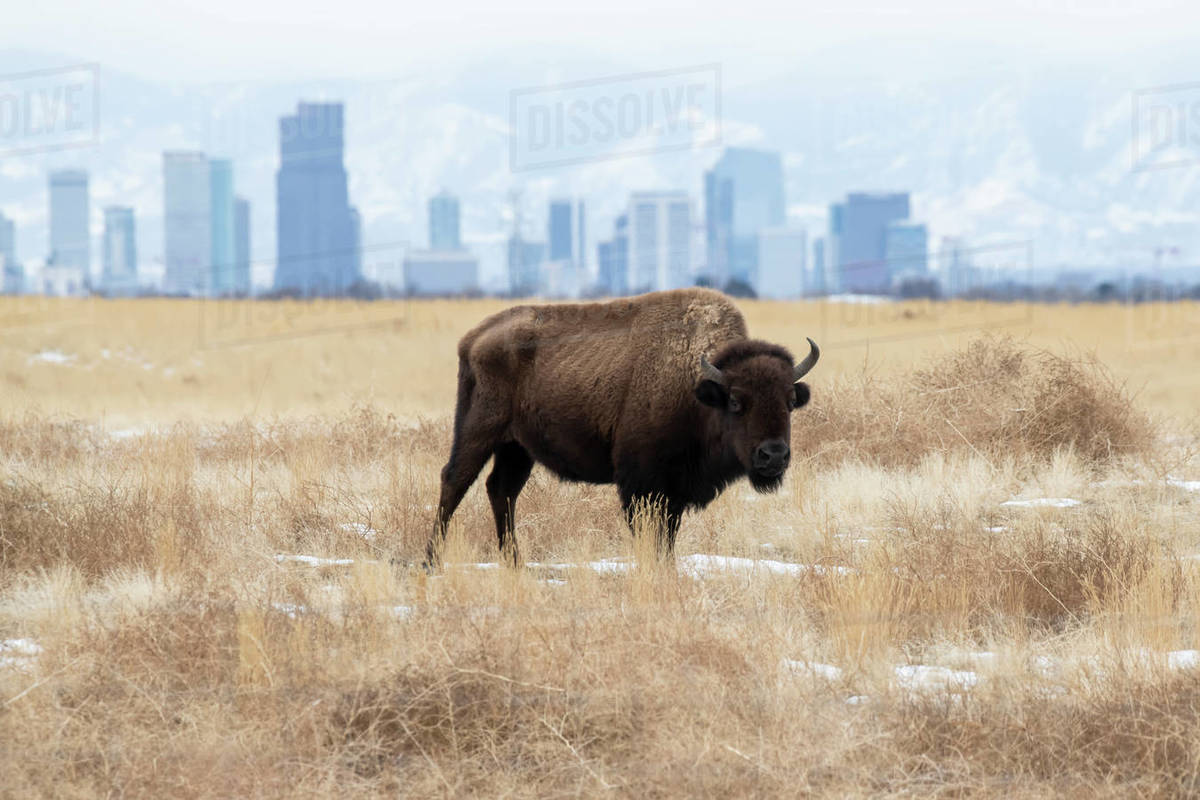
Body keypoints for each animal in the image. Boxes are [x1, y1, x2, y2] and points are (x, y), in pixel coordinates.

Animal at [425, 288, 819, 566]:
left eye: (789, 400)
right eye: (736, 401)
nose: (773, 456)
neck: (696, 386)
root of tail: (474, 337)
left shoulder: (674, 490)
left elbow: (668, 536)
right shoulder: (641, 484)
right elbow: (650, 535)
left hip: (517, 448)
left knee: (501, 490)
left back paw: (515, 564)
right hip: (478, 430)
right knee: (454, 481)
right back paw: (431, 562)